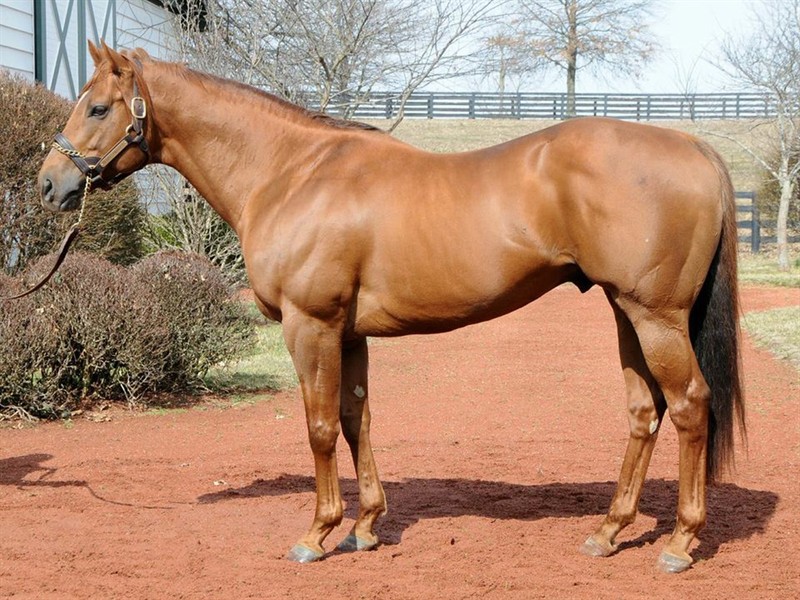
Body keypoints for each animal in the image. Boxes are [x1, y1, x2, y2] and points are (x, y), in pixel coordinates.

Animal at [38, 41, 745, 573]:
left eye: (97, 107)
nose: (49, 184)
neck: (291, 172)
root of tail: (697, 149)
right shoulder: (349, 334)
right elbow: (357, 421)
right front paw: (366, 527)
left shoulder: (311, 327)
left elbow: (321, 427)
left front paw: (317, 534)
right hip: (627, 314)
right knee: (644, 412)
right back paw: (608, 532)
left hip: (655, 317)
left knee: (689, 407)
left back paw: (680, 543)